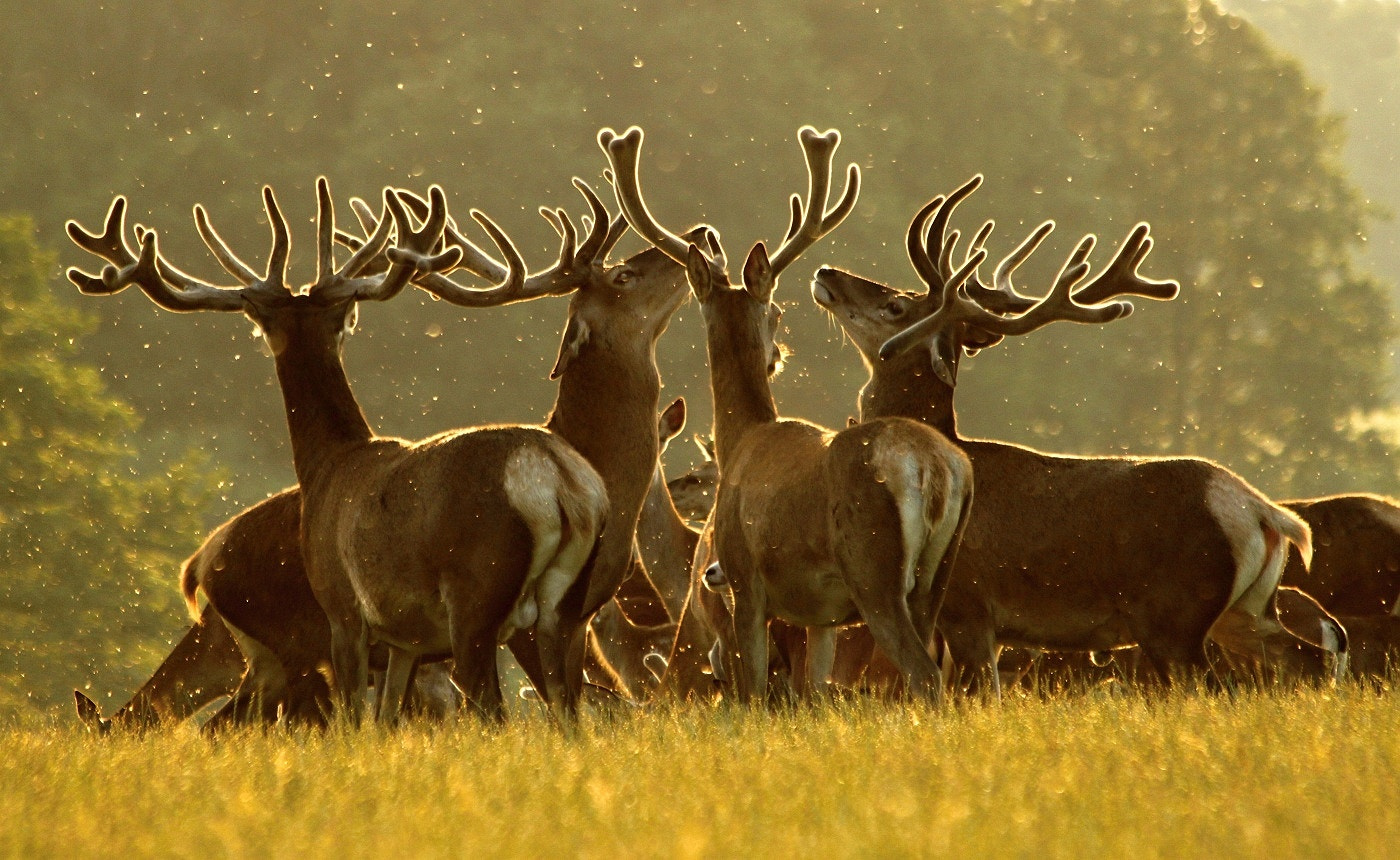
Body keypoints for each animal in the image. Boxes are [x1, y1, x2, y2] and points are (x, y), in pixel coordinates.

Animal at [66, 179, 609, 725]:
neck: (328, 465)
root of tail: (557, 479)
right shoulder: (405, 643)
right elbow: (385, 722)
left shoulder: (343, 611)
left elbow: (354, 720)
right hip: (570, 611)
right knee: (569, 711)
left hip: (475, 596)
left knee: (494, 709)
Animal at [599, 124, 974, 706]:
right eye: (774, 311)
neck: (744, 439)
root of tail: (934, 470)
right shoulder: (818, 618)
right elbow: (813, 694)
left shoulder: (744, 581)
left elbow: (754, 692)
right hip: (938, 577)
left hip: (874, 572)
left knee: (924, 677)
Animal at [811, 174, 1343, 690]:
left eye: (897, 306)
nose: (827, 273)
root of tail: (1267, 513)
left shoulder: (970, 605)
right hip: (1247, 610)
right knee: (1307, 659)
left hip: (1174, 614)